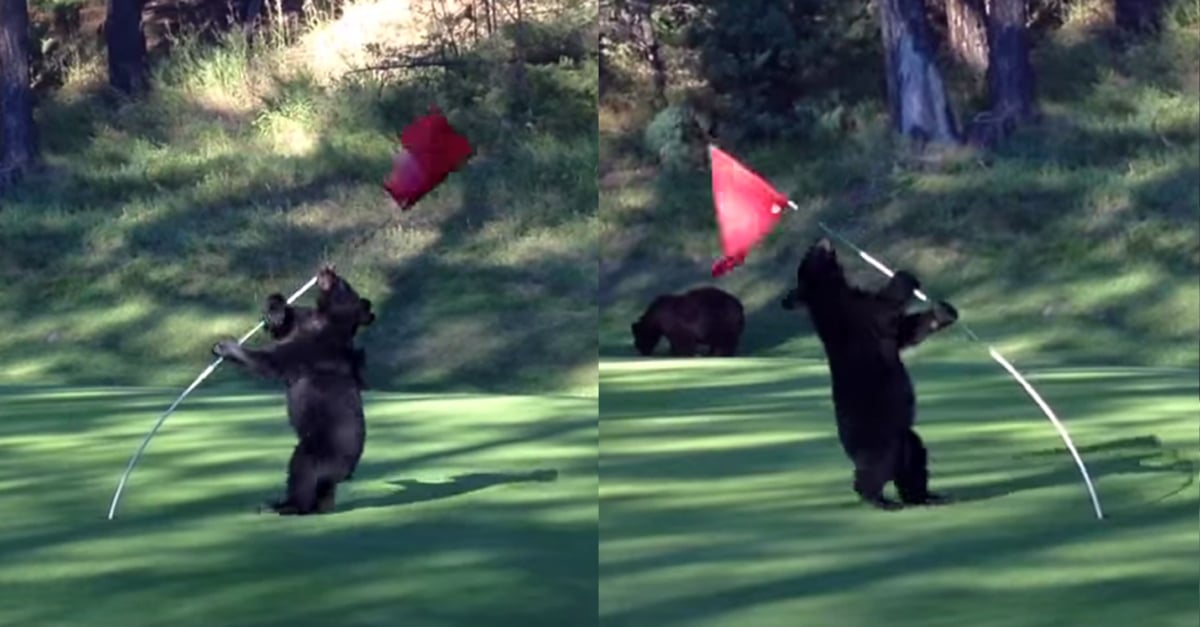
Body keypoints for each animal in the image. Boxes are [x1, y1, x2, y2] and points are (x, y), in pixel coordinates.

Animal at [212, 265, 374, 515]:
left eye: (344, 284)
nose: (328, 269)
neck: (326, 320)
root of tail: (348, 472)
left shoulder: (312, 350)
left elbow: (273, 361)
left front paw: (228, 347)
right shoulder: (304, 323)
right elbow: (286, 323)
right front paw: (275, 309)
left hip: (320, 449)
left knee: (302, 471)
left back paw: (285, 505)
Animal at [781, 237, 959, 511]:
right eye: (810, 255)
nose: (823, 240)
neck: (829, 298)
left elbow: (906, 331)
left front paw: (944, 311)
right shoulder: (859, 315)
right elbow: (886, 308)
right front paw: (904, 276)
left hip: (907, 440)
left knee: (915, 465)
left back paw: (927, 496)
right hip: (881, 442)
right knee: (876, 471)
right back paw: (880, 499)